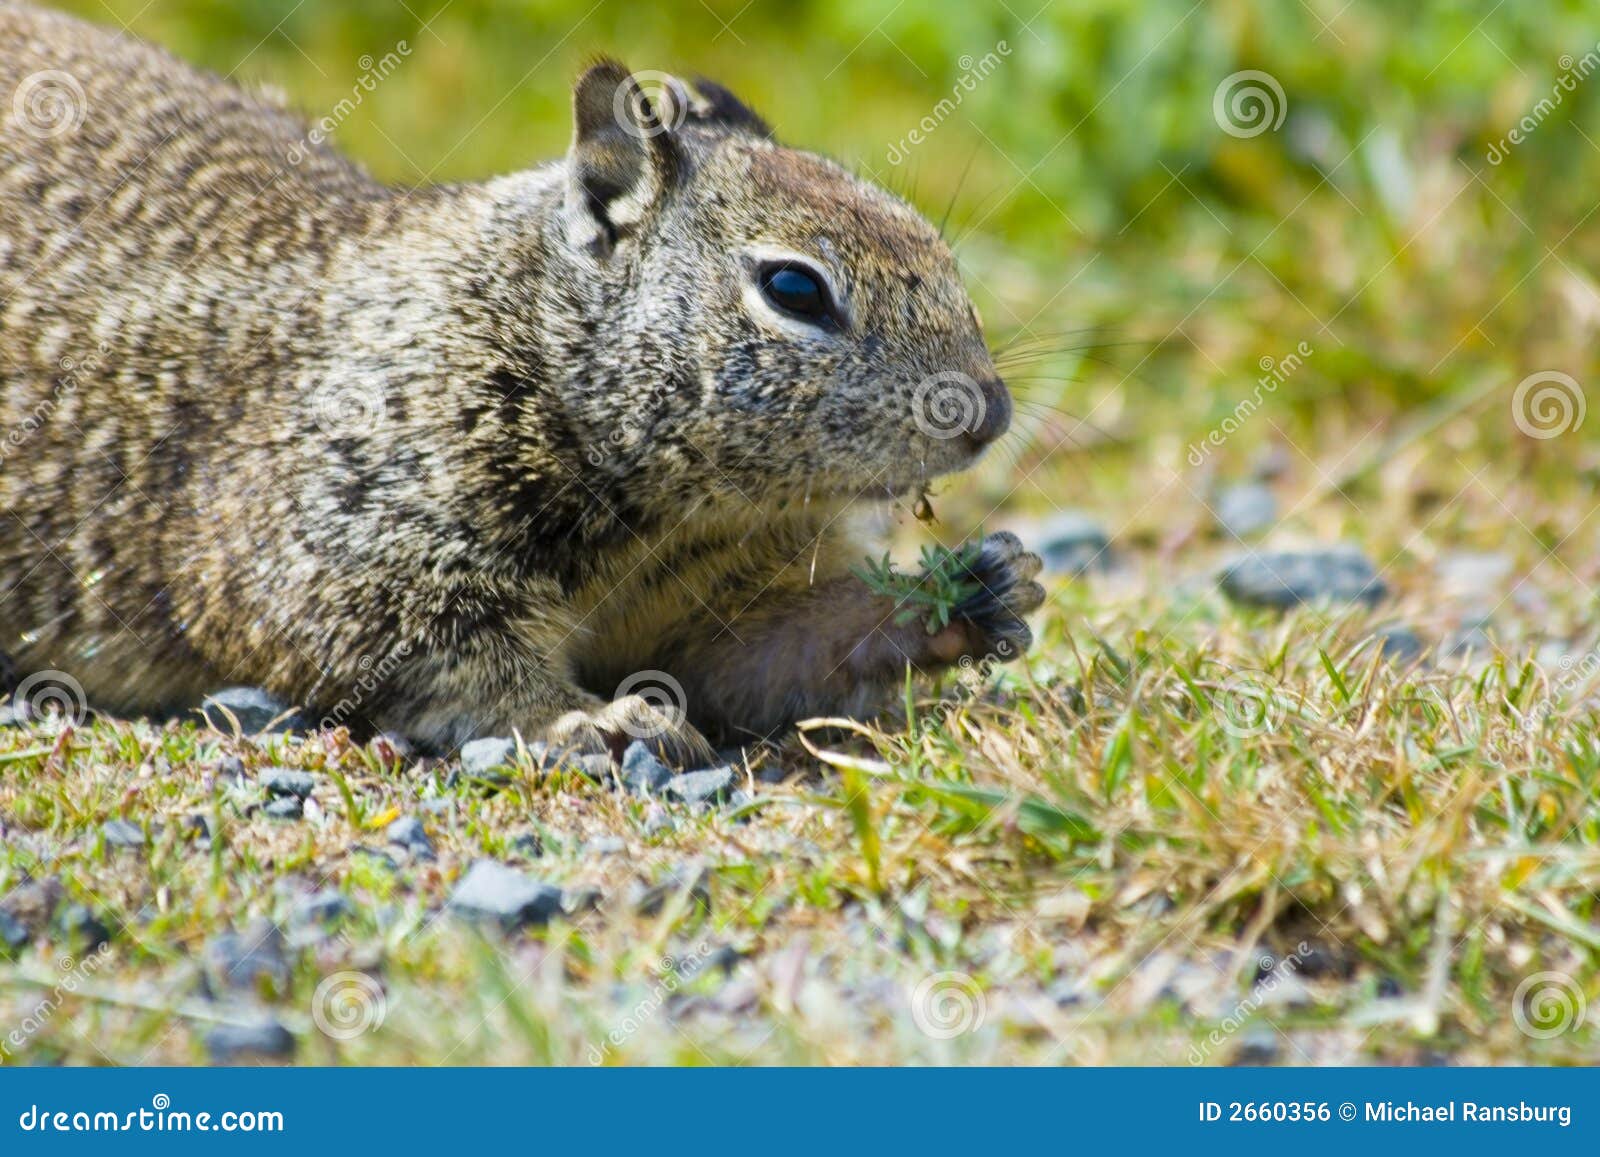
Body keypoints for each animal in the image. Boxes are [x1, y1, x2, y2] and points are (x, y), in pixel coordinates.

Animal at [0, 5, 1044, 760]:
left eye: (935, 241)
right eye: (794, 288)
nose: (988, 413)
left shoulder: (716, 596)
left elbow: (773, 653)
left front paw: (980, 588)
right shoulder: (350, 536)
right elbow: (446, 661)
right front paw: (594, 718)